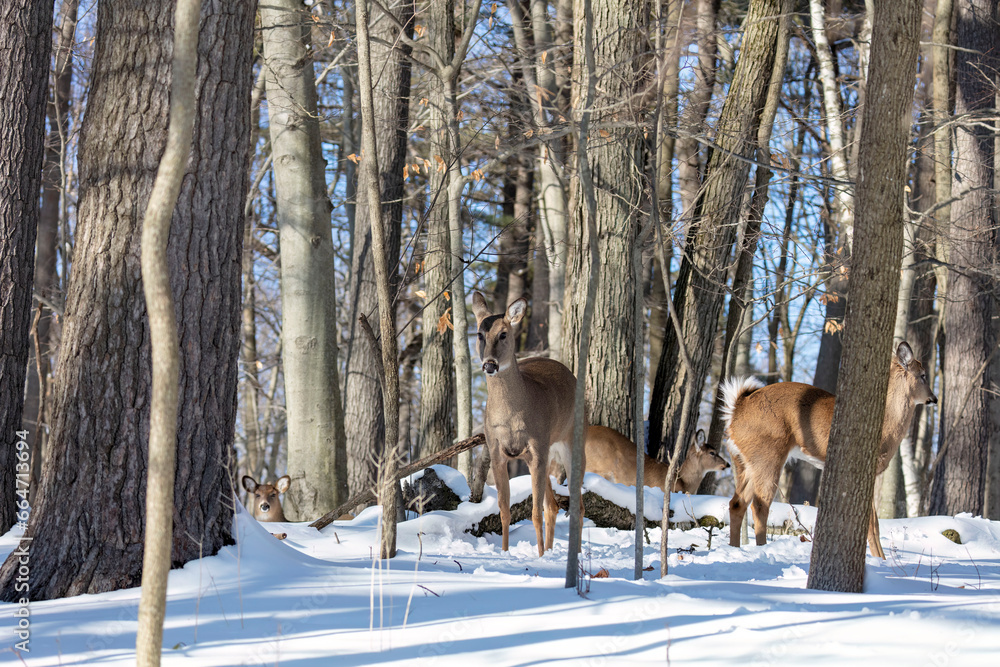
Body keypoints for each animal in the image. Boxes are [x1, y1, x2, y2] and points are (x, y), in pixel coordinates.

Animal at [471, 292, 585, 557]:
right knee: (553, 505)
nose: (489, 364)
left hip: (570, 441)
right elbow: (504, 510)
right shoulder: (497, 449)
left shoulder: (537, 446)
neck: (512, 416)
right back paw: (553, 551)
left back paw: (574, 553)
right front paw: (505, 552)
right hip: (546, 453)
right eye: (480, 334)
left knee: (577, 505)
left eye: (504, 334)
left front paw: (539, 556)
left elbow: (534, 513)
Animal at [721, 341, 937, 559]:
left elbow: (873, 522)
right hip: (768, 454)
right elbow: (871, 523)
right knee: (759, 505)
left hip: (744, 460)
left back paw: (735, 548)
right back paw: (762, 548)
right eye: (923, 374)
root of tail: (736, 410)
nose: (934, 398)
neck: (886, 425)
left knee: (737, 503)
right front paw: (880, 559)